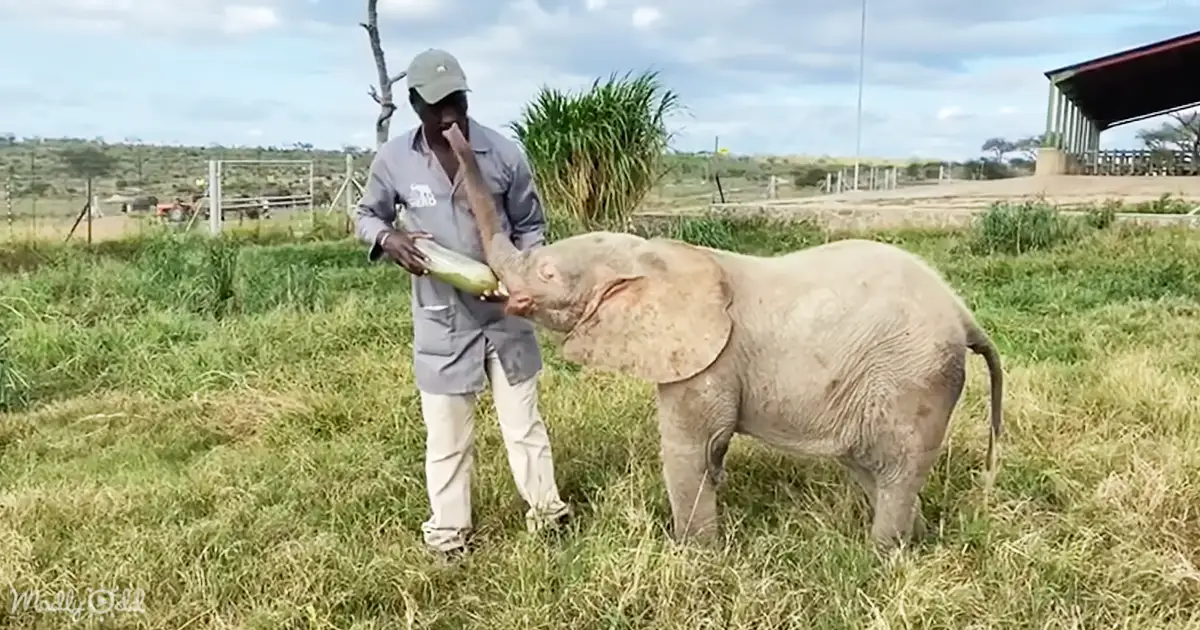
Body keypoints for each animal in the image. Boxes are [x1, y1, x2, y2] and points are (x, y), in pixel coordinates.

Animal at [439, 125, 1004, 550]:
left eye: (549, 274)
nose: (447, 126)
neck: (653, 256)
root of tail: (964, 315)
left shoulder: (707, 361)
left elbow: (689, 448)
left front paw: (692, 556)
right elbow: (708, 452)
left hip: (914, 379)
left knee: (896, 471)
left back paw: (883, 557)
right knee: (875, 469)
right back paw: (918, 541)